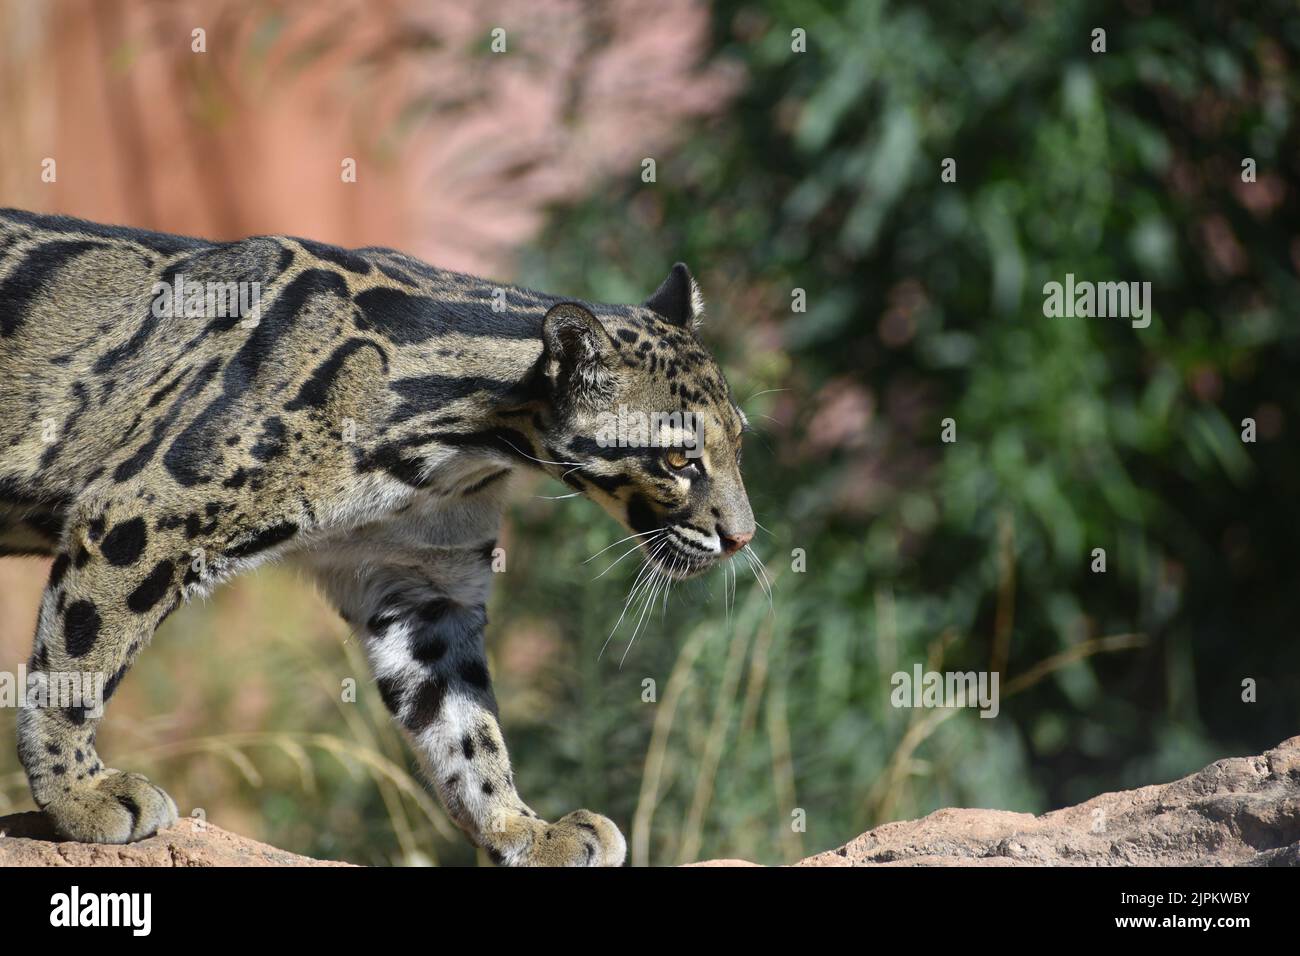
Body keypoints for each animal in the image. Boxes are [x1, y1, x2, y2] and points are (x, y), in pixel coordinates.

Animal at [0, 207, 755, 866]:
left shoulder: (418, 580)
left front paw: (522, 828)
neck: (459, 449)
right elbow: (78, 658)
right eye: (680, 459)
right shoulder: (142, 510)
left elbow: (464, 724)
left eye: (741, 440)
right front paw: (79, 796)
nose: (743, 538)